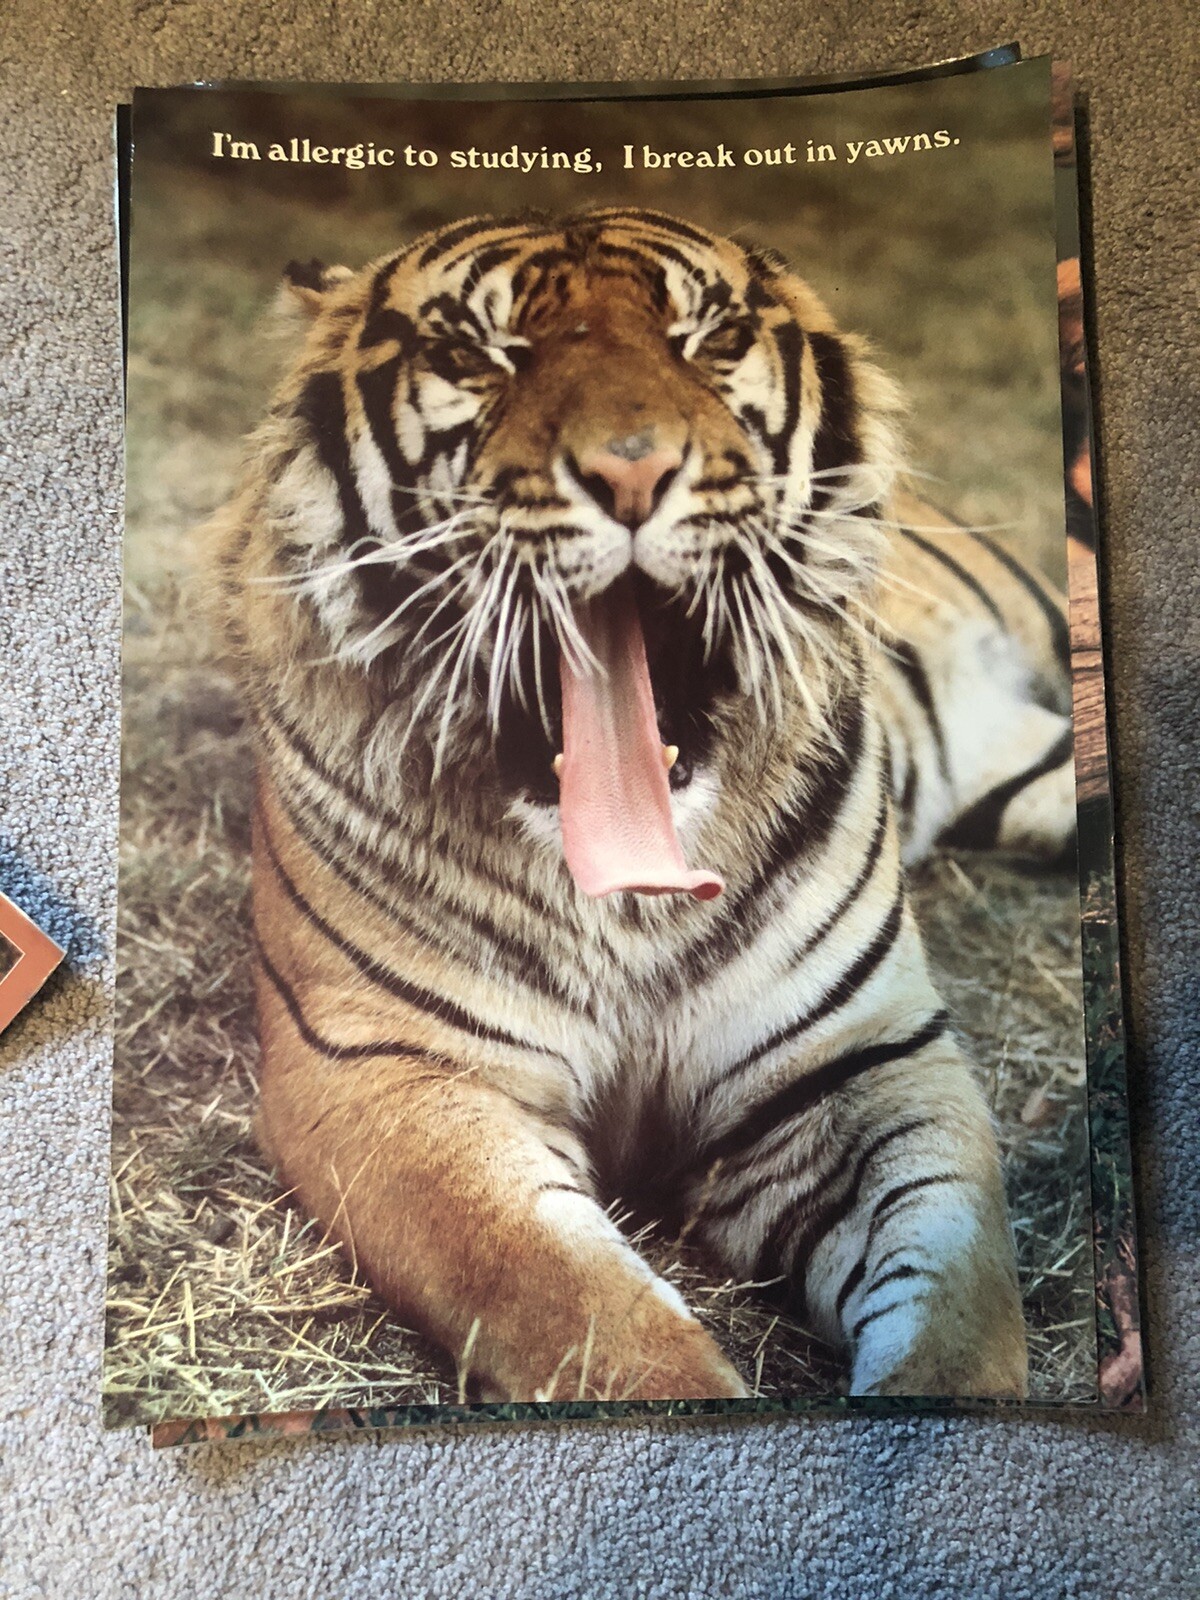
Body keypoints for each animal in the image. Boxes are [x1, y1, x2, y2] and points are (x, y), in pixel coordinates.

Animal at [205, 206, 1078, 1403]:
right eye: (479, 355)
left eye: (709, 343)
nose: (634, 472)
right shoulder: (387, 1072)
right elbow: (581, 1312)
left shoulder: (865, 1060)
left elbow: (955, 1305)